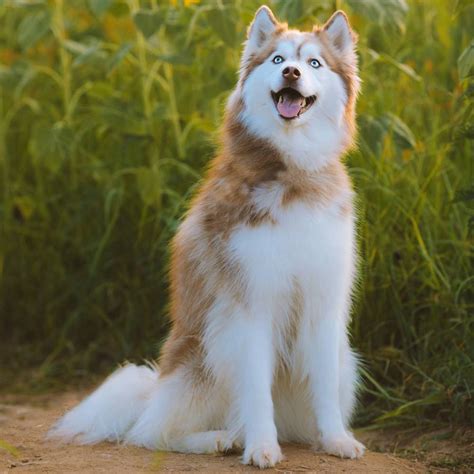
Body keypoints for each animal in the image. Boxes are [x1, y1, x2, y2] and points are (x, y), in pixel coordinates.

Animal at [49, 5, 362, 468]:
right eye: (277, 59)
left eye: (314, 63)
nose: (290, 72)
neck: (293, 174)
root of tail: (156, 387)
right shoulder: (250, 305)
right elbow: (256, 392)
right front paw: (261, 446)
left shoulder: (324, 303)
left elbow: (322, 386)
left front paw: (336, 439)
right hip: (206, 353)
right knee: (150, 432)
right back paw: (218, 439)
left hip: (346, 361)